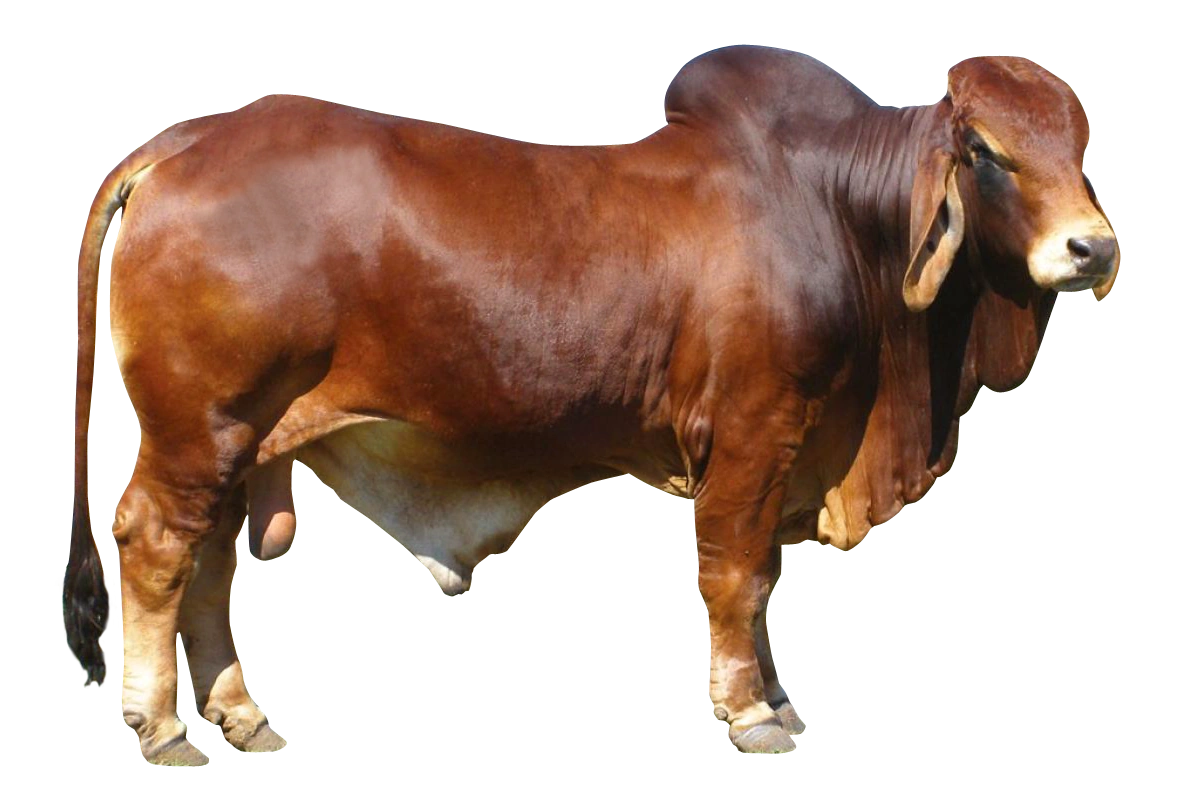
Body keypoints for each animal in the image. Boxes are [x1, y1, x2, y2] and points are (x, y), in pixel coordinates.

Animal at [62, 45, 1118, 765]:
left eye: (1080, 139)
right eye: (983, 149)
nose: (1091, 249)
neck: (839, 211)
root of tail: (188, 139)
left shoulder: (787, 452)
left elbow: (764, 579)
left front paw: (775, 692)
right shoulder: (752, 432)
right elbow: (733, 577)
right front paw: (747, 712)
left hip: (237, 439)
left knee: (209, 562)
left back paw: (240, 715)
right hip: (200, 427)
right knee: (155, 546)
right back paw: (161, 727)